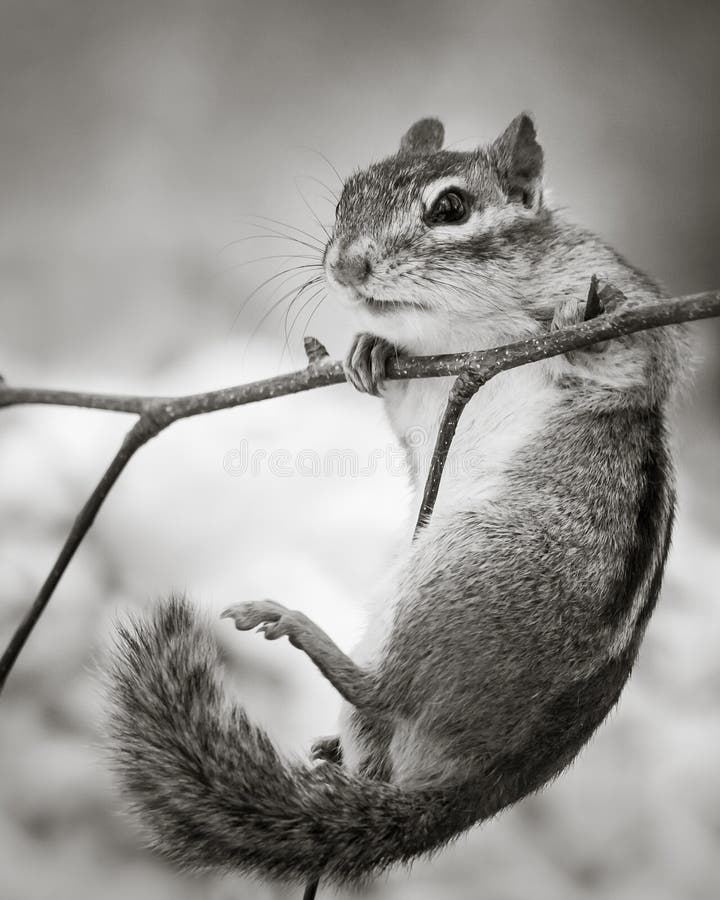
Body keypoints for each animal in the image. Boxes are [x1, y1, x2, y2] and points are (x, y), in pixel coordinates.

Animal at [108, 113, 684, 887]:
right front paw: (368, 350)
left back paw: (299, 626)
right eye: (346, 195)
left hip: (471, 563)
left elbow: (632, 355)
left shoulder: (638, 325)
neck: (460, 328)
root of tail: (487, 785)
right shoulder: (426, 390)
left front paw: (573, 312)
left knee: (386, 690)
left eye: (451, 208)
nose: (347, 267)